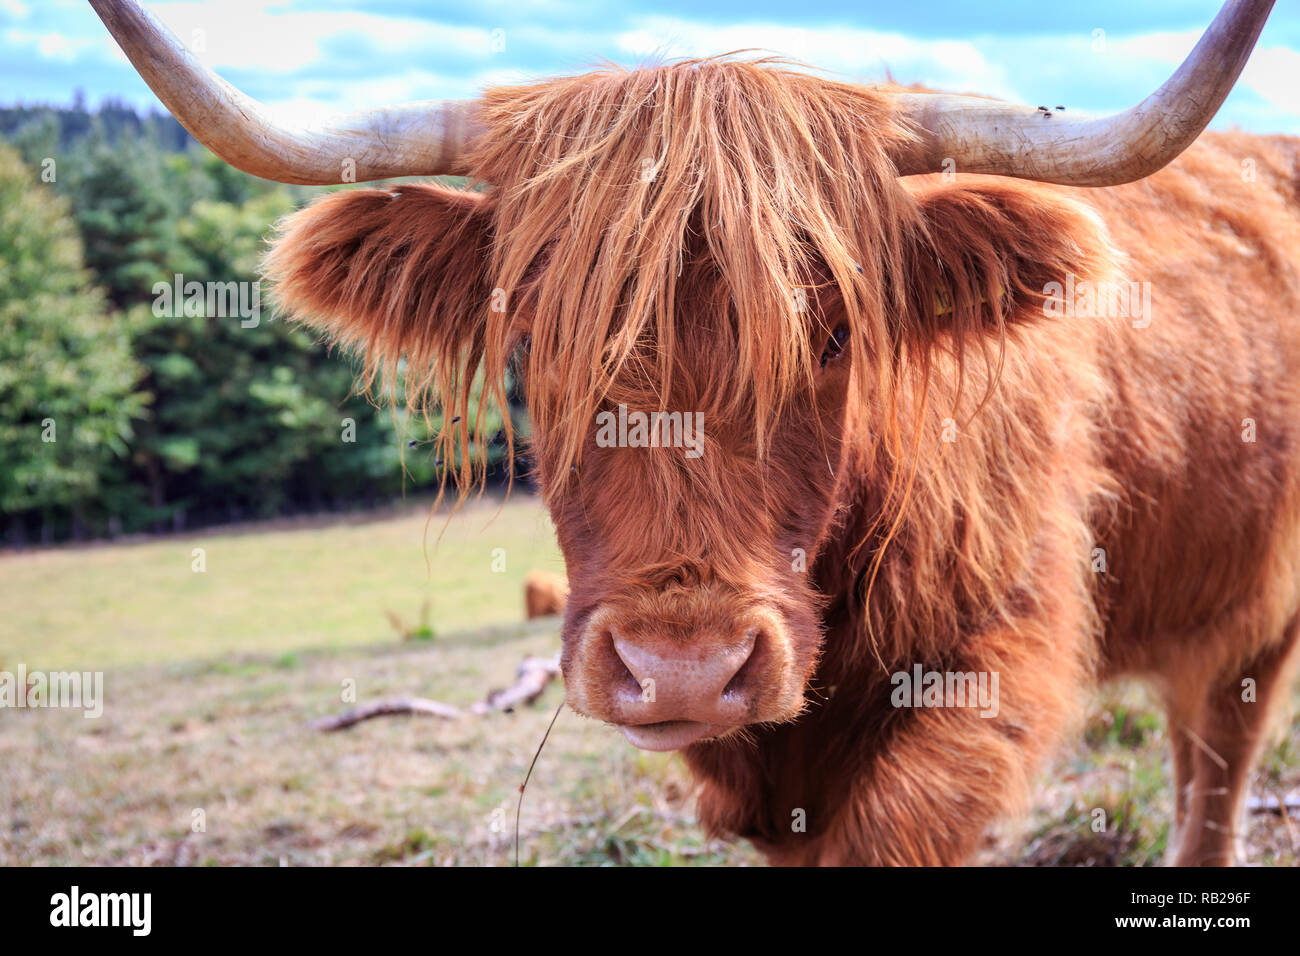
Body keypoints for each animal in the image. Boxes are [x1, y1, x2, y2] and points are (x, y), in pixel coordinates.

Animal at [92, 0, 1299, 865]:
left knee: (1220, 764)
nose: (682, 669)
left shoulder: (989, 666)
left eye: (833, 331)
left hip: (1259, 615)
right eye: (534, 339)